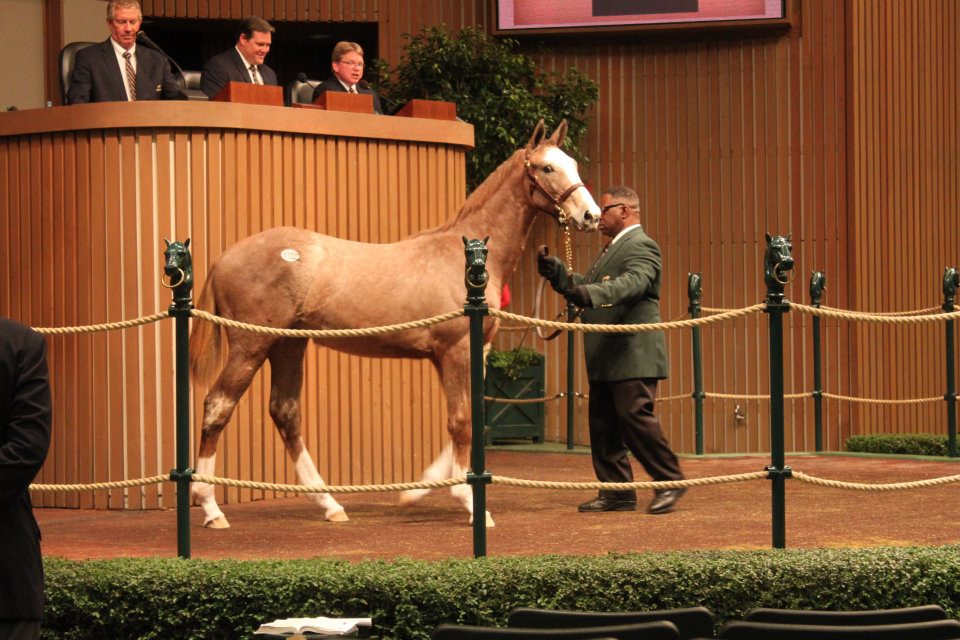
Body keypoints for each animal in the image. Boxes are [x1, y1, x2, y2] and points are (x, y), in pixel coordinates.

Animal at [188, 120, 599, 529]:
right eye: (547, 168)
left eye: (572, 164)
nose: (590, 215)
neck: (467, 258)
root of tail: (222, 258)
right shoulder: (454, 351)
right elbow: (461, 421)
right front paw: (470, 503)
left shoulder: (467, 354)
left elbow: (468, 418)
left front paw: (417, 490)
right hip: (251, 346)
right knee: (217, 406)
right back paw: (210, 507)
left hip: (288, 344)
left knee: (285, 412)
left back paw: (330, 504)